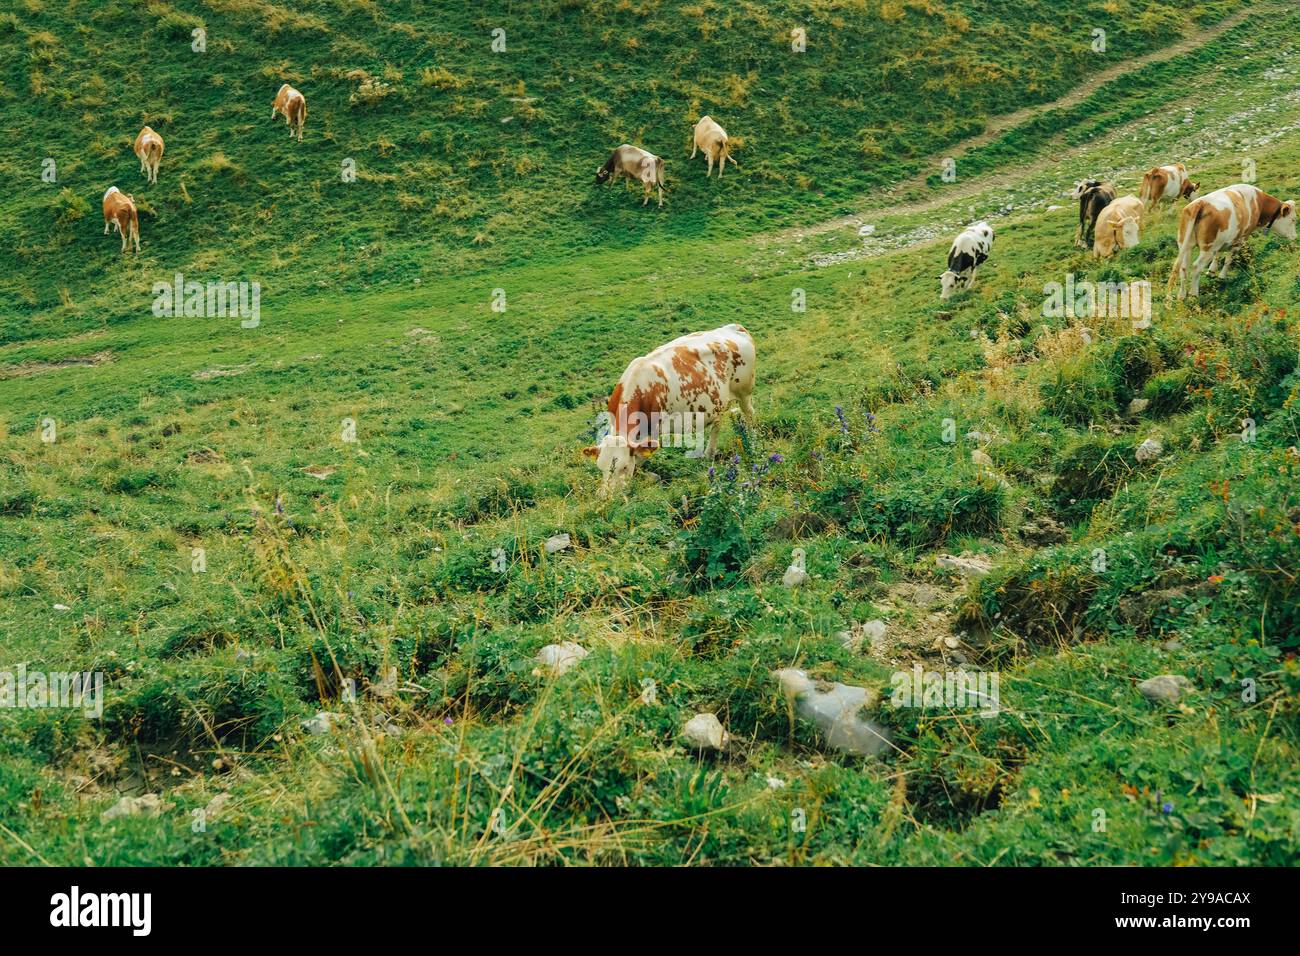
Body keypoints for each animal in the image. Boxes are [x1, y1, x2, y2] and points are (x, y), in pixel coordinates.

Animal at [582, 324, 756, 495]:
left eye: (624, 467)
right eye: (600, 468)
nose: (606, 497)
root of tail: (735, 327)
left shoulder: (655, 432)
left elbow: (639, 459)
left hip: (744, 392)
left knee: (749, 414)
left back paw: (751, 441)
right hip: (717, 403)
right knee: (717, 423)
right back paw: (709, 454)